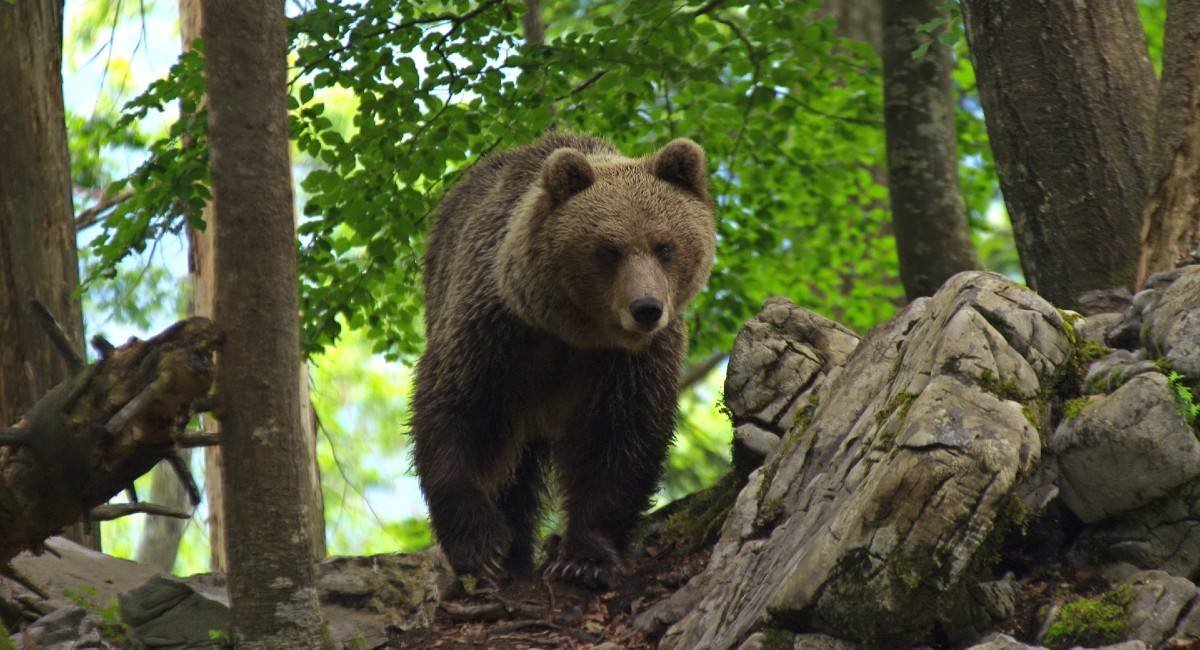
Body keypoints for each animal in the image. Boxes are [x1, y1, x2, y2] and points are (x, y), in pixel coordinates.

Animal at [412, 132, 716, 587]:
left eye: (665, 246)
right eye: (609, 249)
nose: (646, 308)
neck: (574, 332)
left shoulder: (629, 362)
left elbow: (619, 439)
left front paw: (583, 560)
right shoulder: (496, 333)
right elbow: (458, 415)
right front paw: (482, 547)